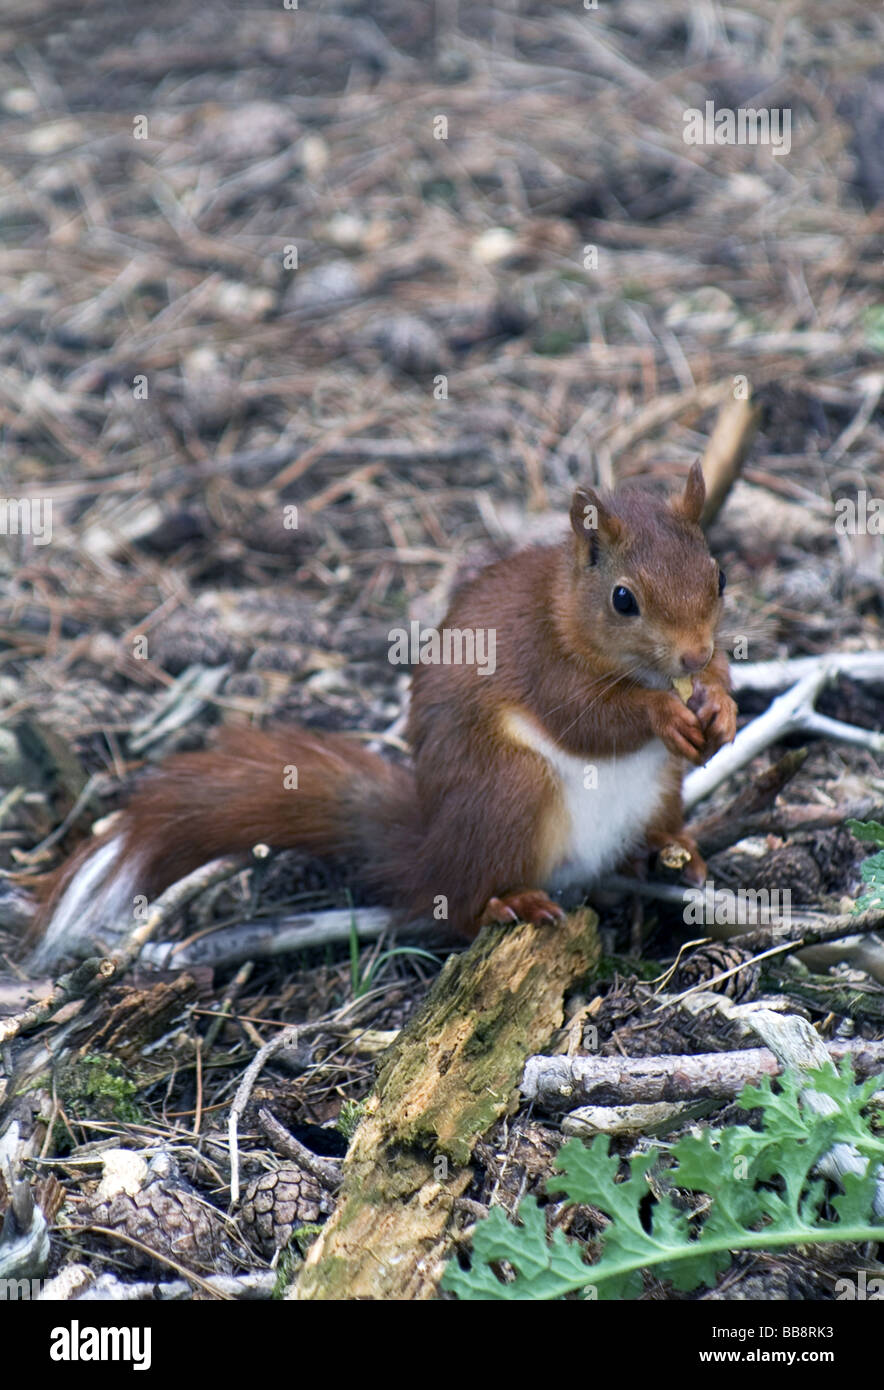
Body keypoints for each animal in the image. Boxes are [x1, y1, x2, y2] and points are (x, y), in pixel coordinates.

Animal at [30, 461, 737, 966]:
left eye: (719, 576)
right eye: (623, 600)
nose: (694, 652)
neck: (567, 611)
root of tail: (431, 855)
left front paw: (721, 704)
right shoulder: (544, 666)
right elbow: (588, 720)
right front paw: (663, 712)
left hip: (658, 789)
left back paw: (669, 848)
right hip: (509, 791)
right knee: (459, 908)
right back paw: (508, 904)